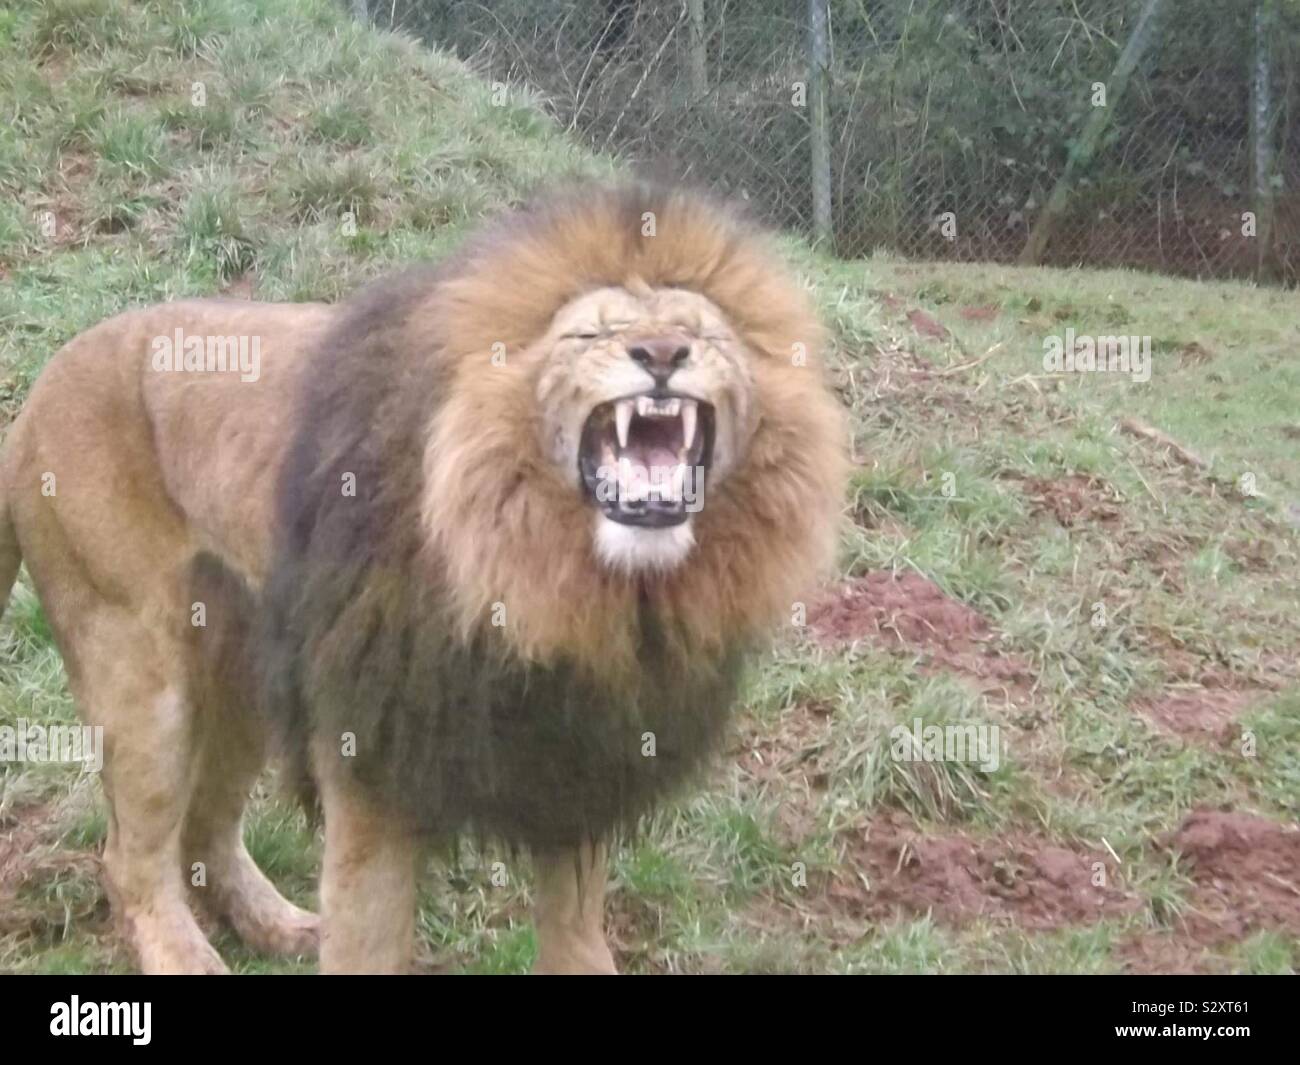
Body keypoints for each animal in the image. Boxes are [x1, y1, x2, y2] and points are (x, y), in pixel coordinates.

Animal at [0, 184, 847, 974]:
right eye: (591, 334)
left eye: (704, 334)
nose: (665, 353)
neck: (561, 581)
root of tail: (31, 401)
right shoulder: (374, 758)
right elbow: (368, 941)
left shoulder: (571, 765)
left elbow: (576, 934)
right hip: (139, 671)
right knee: (129, 854)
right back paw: (185, 953)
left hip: (245, 669)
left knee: (205, 828)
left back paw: (275, 923)